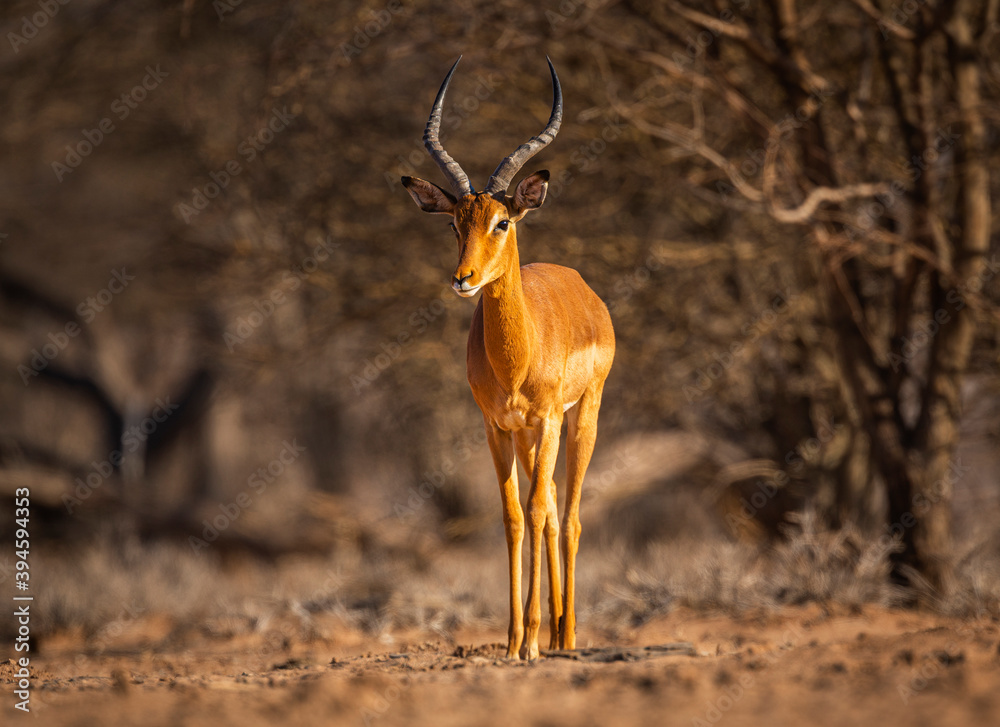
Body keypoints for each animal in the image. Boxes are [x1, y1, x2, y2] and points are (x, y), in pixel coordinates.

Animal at [401, 57, 615, 660]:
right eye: (455, 223)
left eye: (503, 221)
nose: (463, 279)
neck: (517, 358)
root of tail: (584, 288)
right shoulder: (495, 426)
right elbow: (514, 517)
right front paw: (516, 639)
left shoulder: (547, 419)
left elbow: (541, 512)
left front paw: (533, 643)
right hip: (527, 436)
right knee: (548, 511)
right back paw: (554, 630)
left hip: (580, 418)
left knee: (569, 516)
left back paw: (568, 635)